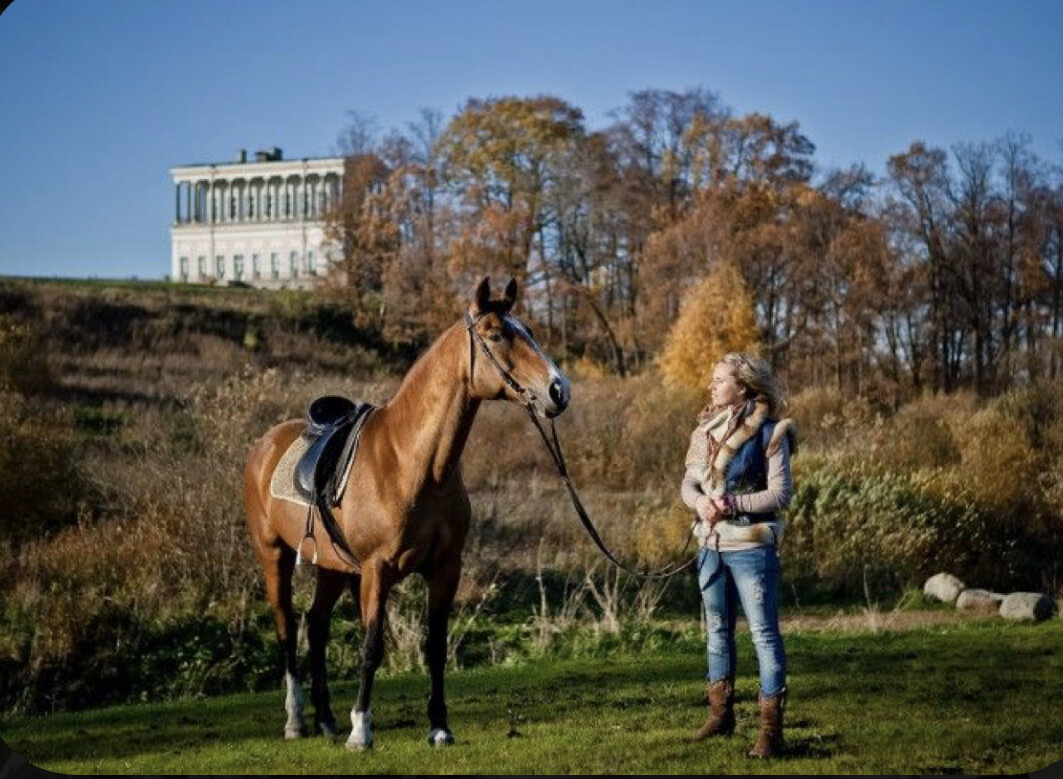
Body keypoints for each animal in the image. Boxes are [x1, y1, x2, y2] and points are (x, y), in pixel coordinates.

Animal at [243, 278, 569, 748]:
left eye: (528, 330)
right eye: (495, 334)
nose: (558, 390)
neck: (413, 461)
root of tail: (264, 444)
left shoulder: (444, 568)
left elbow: (435, 647)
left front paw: (439, 727)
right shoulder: (377, 570)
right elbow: (371, 646)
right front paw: (361, 729)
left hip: (332, 567)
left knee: (316, 626)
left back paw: (326, 719)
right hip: (274, 556)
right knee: (287, 628)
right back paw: (296, 720)